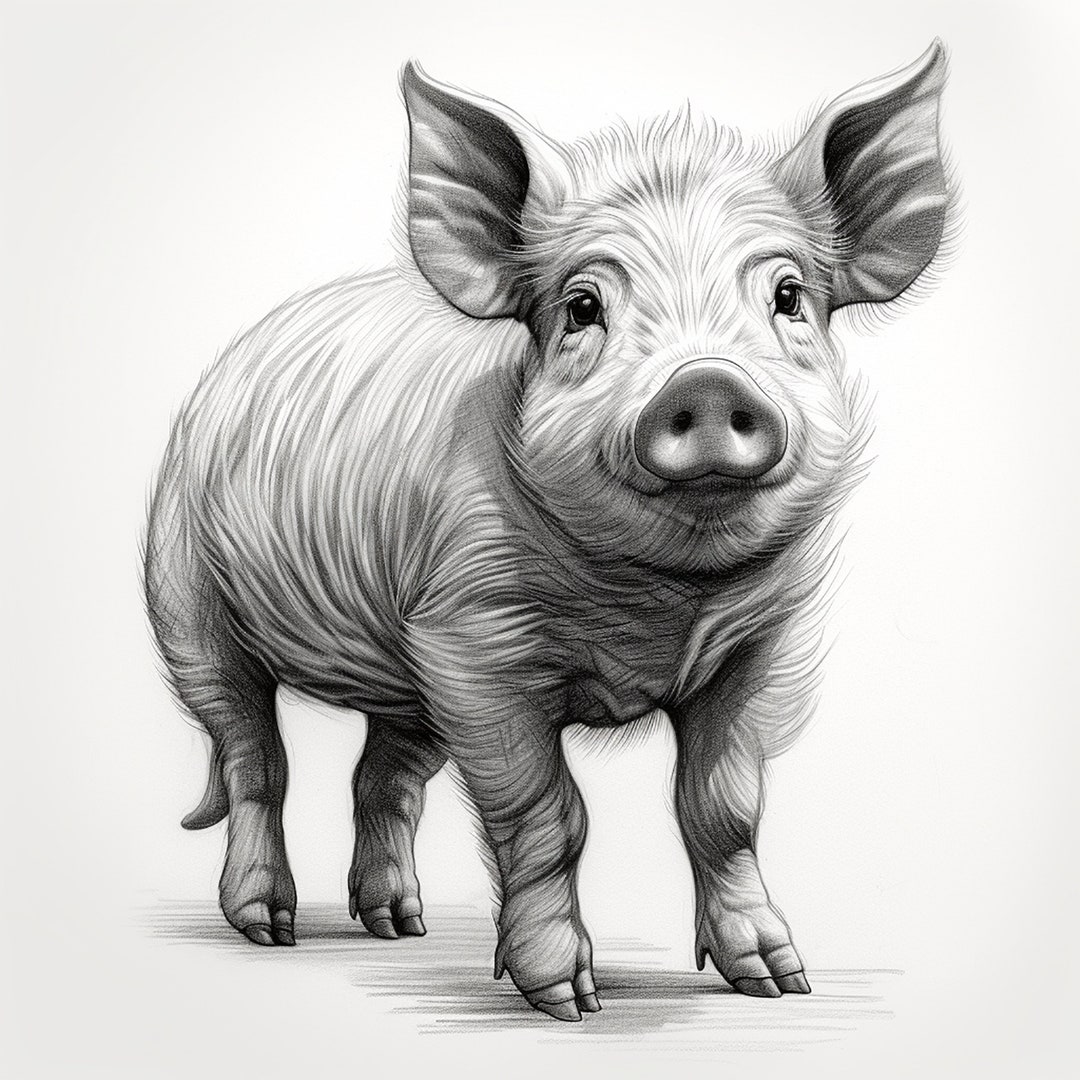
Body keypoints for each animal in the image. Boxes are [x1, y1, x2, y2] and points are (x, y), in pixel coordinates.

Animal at [143, 42, 951, 1021]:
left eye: (789, 295)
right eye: (582, 308)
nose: (707, 381)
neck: (664, 602)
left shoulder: (764, 646)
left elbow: (724, 810)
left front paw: (780, 981)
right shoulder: (474, 642)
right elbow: (546, 816)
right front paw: (569, 1003)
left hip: (406, 667)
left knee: (383, 776)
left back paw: (399, 926)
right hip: (184, 593)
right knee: (253, 755)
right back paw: (270, 929)